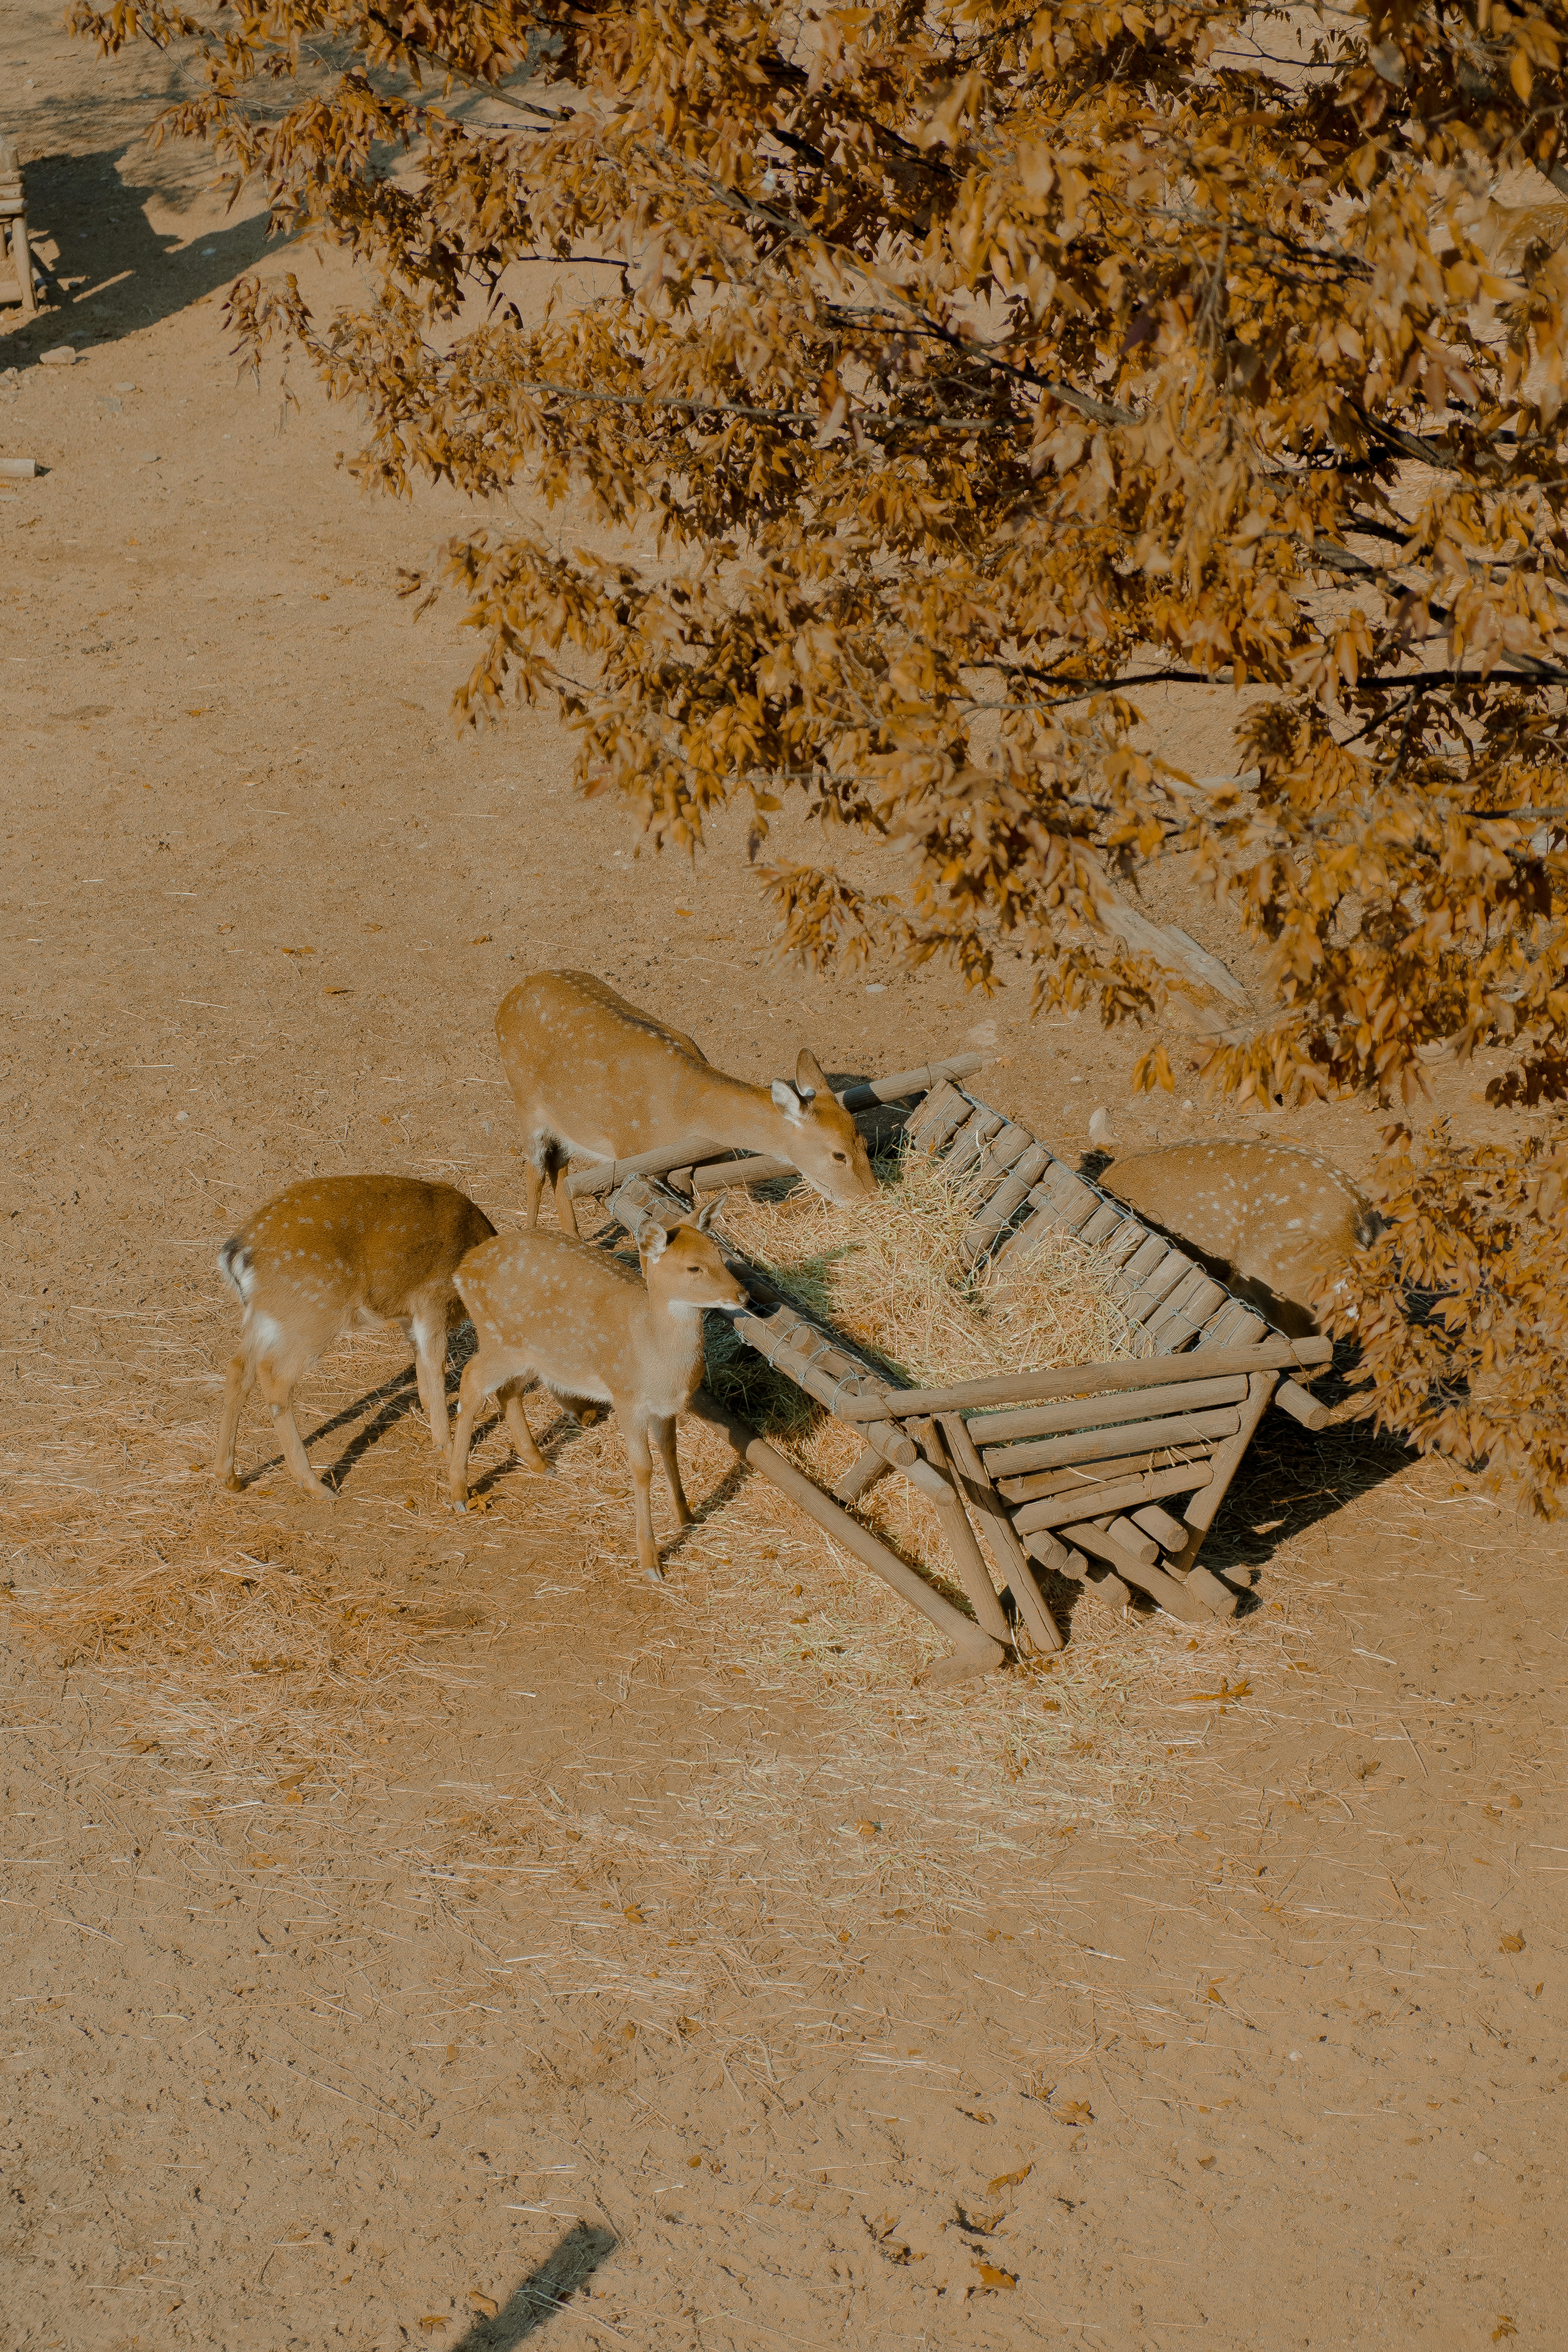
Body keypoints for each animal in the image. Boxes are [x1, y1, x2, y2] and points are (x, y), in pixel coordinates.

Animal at [214, 1175, 497, 1500]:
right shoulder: (432, 1299)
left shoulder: (408, 1314)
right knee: (274, 1376)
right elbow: (435, 1367)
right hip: (314, 1312)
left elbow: (423, 1373)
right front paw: (448, 1449)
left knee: (239, 1368)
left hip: (267, 1315)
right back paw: (316, 1486)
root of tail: (237, 1255)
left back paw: (229, 1478)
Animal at [447, 1203, 748, 1578]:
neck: (655, 1357)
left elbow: (670, 1452)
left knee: (508, 1392)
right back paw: (460, 1493)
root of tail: (461, 1272)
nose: (743, 1295)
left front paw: (687, 1517)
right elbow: (643, 1467)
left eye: (719, 1255)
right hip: (498, 1339)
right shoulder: (626, 1397)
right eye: (694, 1267)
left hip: (532, 1353)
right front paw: (650, 1562)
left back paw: (540, 1464)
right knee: (471, 1379)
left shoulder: (663, 1407)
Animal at [494, 969, 876, 1234]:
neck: (686, 1112)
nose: (870, 1196)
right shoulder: (632, 1154)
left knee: (559, 1167)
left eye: (863, 1141)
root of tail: (510, 995)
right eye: (838, 1155)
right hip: (524, 1102)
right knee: (535, 1170)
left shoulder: (681, 1171)